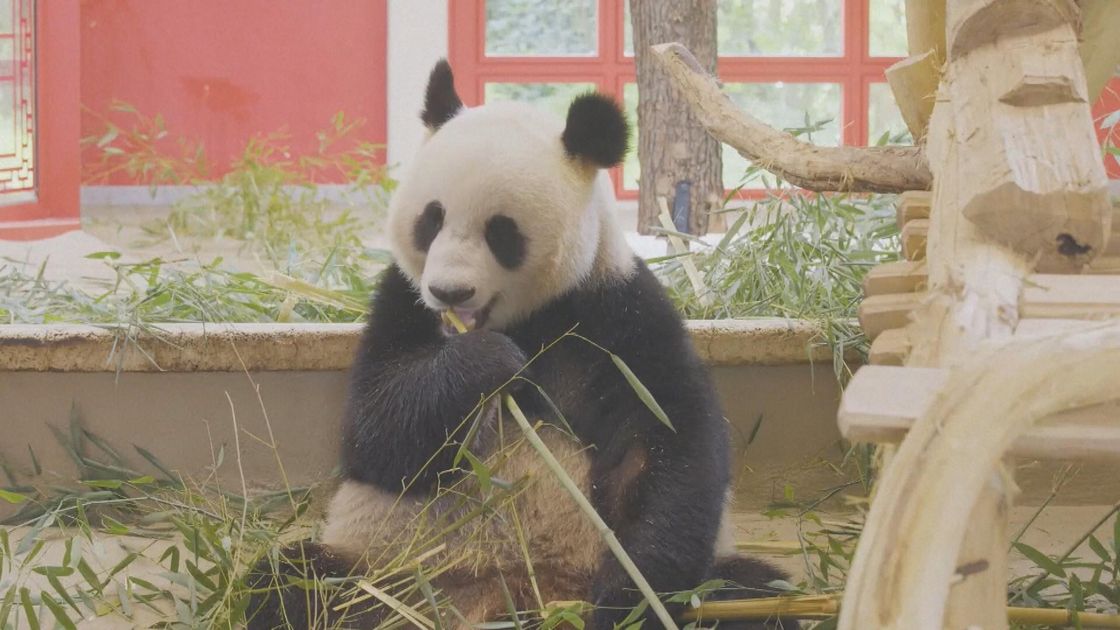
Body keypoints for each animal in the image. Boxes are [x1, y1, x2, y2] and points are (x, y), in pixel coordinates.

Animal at [247, 60, 789, 630]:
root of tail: (509, 596)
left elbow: (667, 439)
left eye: (501, 232)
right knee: (295, 584)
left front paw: (631, 598)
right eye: (431, 218)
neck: (522, 320)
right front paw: (489, 363)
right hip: (386, 571)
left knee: (751, 593)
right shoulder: (402, 303)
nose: (449, 292)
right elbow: (376, 433)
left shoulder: (615, 311)